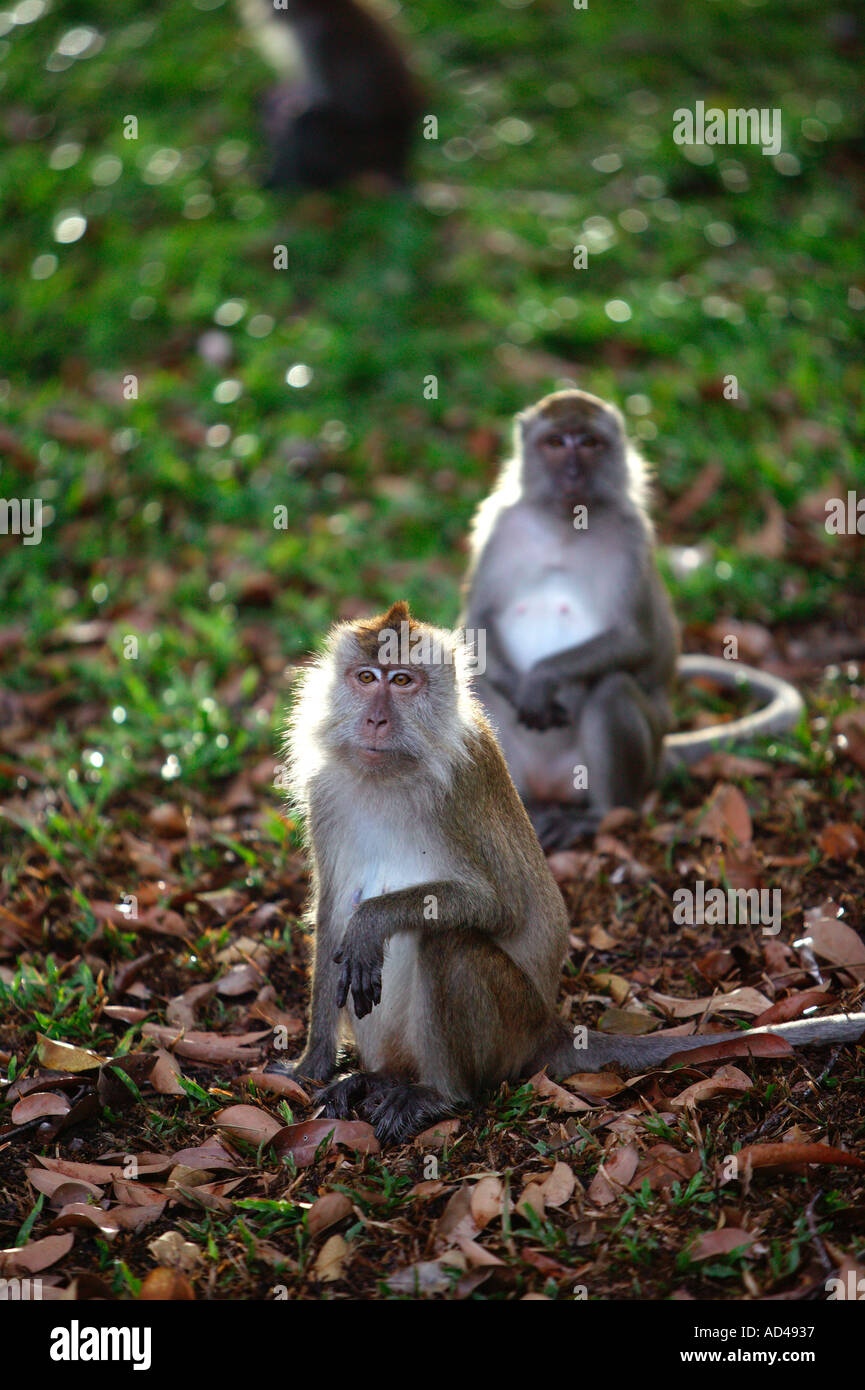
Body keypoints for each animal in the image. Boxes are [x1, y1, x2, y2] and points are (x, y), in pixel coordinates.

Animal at [266, 601, 864, 1144]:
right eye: (366, 677)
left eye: (403, 681)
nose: (375, 719)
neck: (390, 773)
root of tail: (548, 1029)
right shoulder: (327, 793)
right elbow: (333, 914)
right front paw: (311, 1066)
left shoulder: (461, 785)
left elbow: (498, 906)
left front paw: (374, 921)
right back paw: (375, 1079)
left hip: (511, 1029)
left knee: (448, 943)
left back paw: (436, 1093)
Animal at [461, 390, 805, 851]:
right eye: (556, 442)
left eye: (589, 443)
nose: (573, 473)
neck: (564, 526)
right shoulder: (498, 526)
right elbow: (478, 623)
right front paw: (524, 686)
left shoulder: (631, 536)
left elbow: (634, 638)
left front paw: (542, 679)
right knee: (481, 689)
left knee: (612, 689)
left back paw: (600, 814)